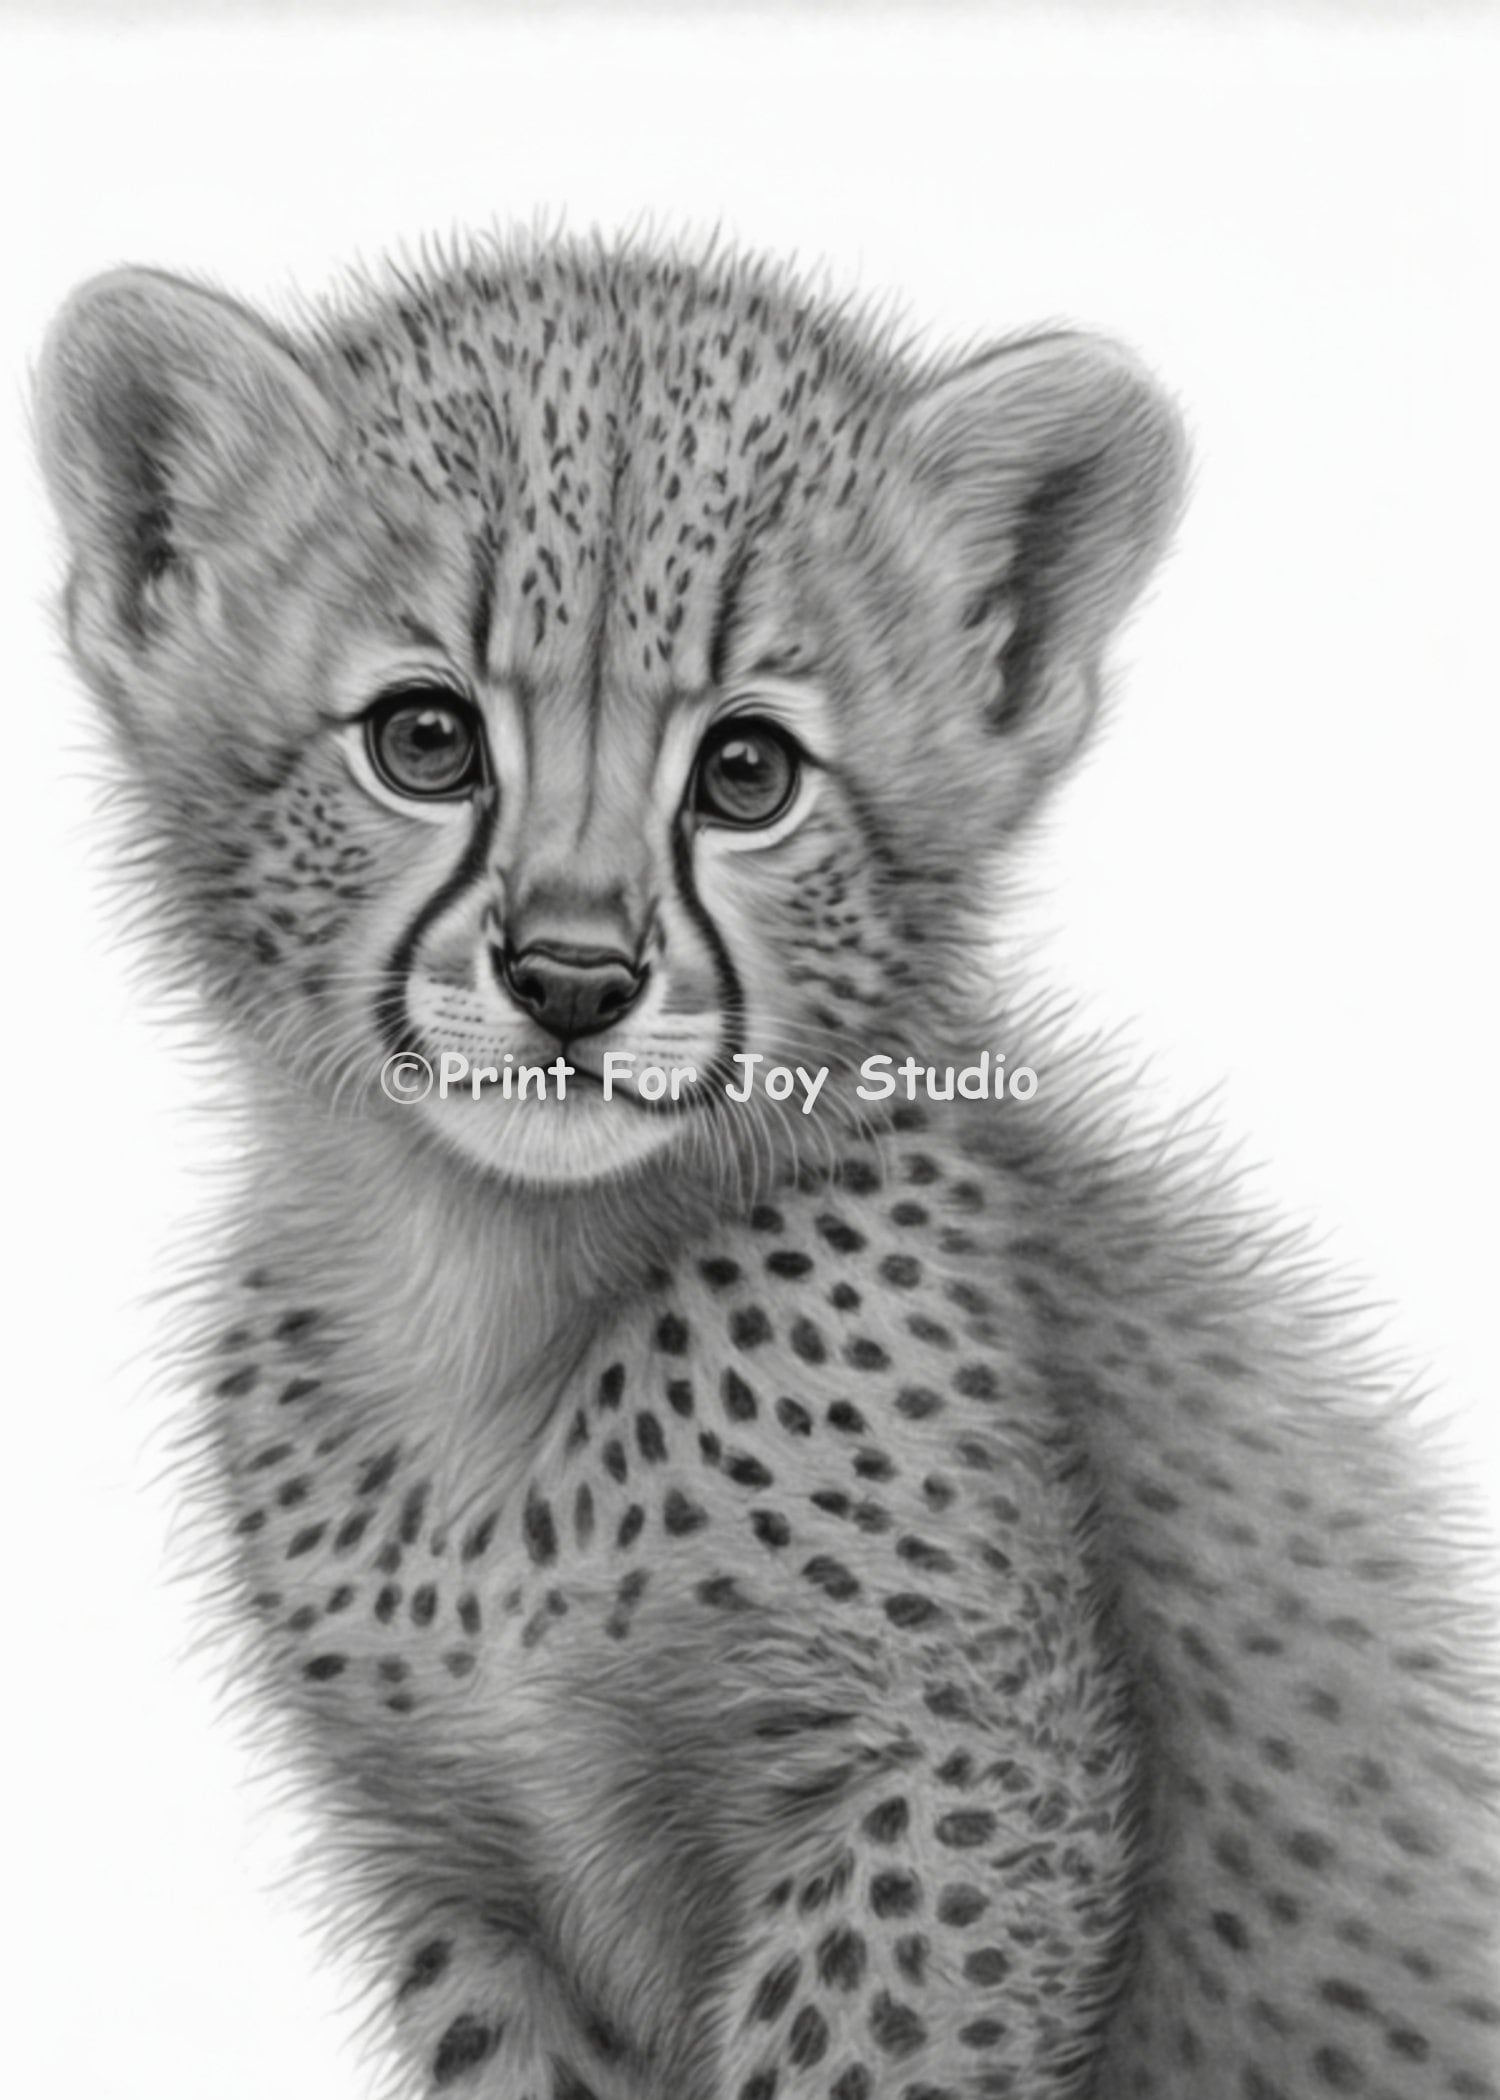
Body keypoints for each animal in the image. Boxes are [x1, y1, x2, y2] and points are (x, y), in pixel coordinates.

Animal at [36, 228, 1500, 2100]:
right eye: (425, 740)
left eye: (746, 773)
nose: (573, 978)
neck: (496, 1290)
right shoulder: (462, 1863)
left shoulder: (960, 1790)